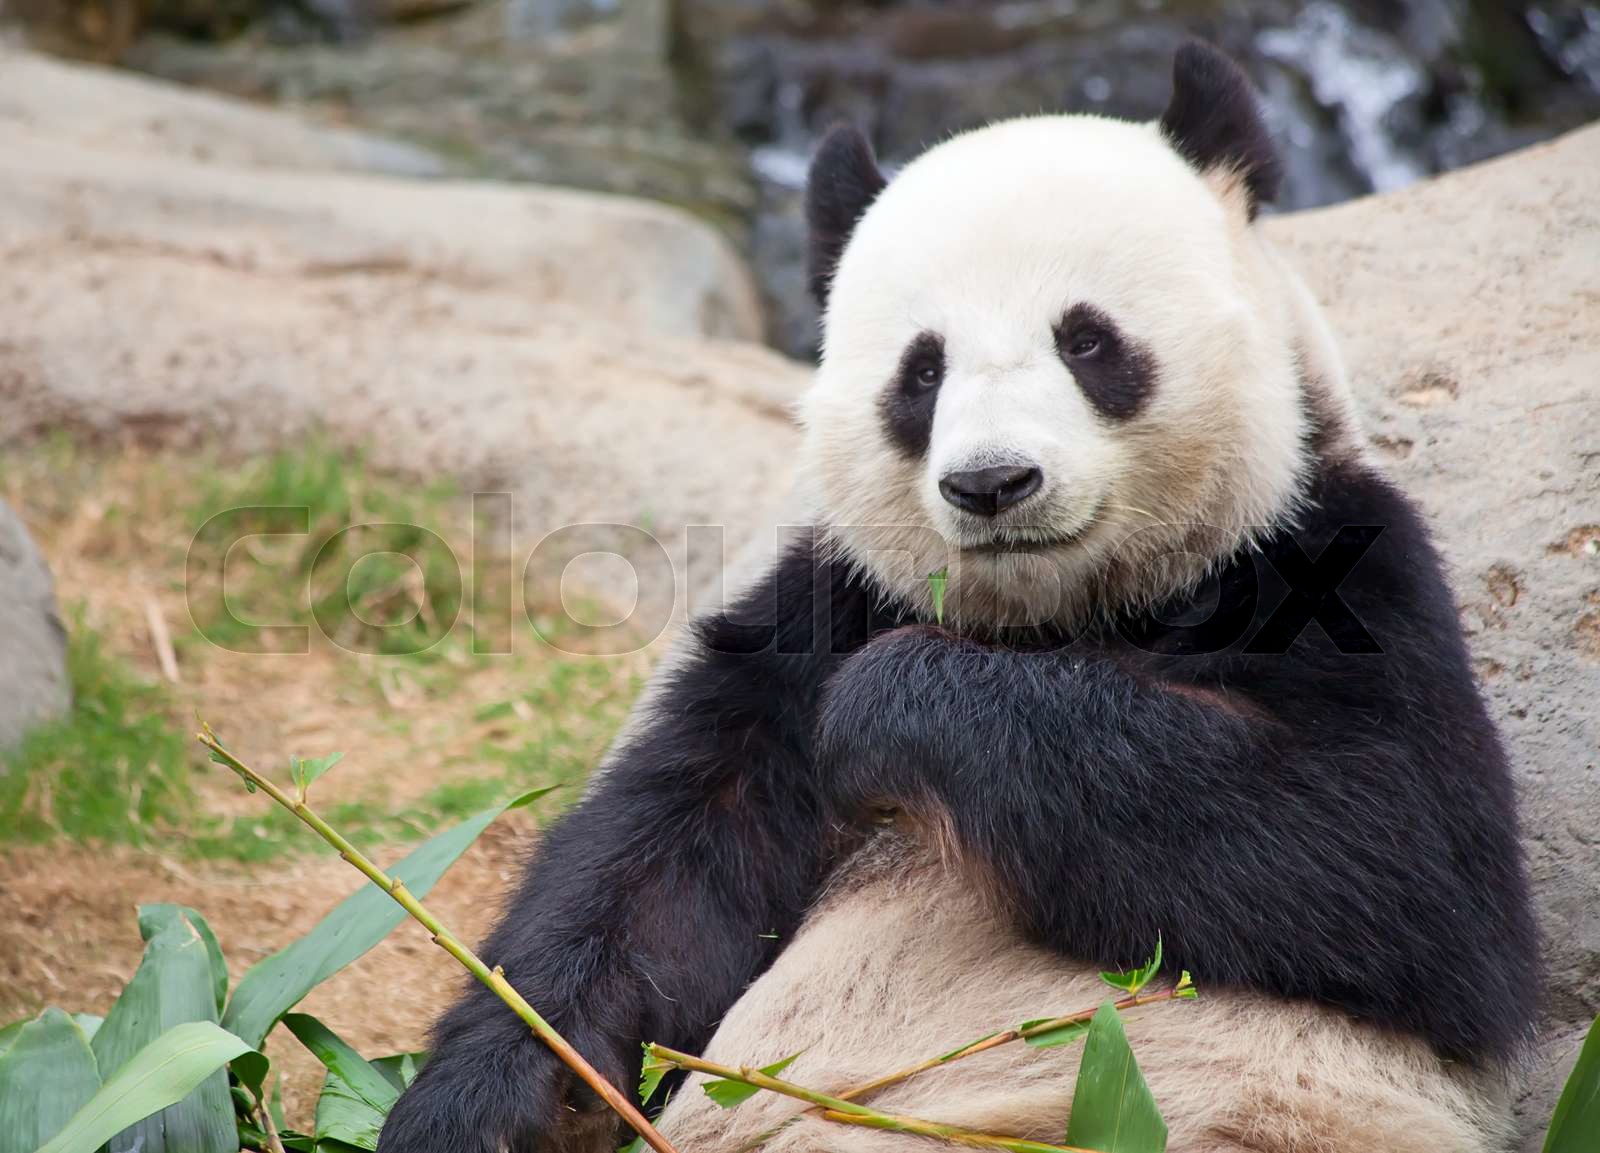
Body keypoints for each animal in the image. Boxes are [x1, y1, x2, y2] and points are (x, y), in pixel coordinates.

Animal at [379, 42, 1539, 1153]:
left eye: (1087, 339)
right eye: (921, 371)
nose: (992, 482)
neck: (1061, 615)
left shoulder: (1324, 564)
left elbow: (1396, 860)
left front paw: (888, 710)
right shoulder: (823, 607)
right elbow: (658, 862)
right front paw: (488, 1103)